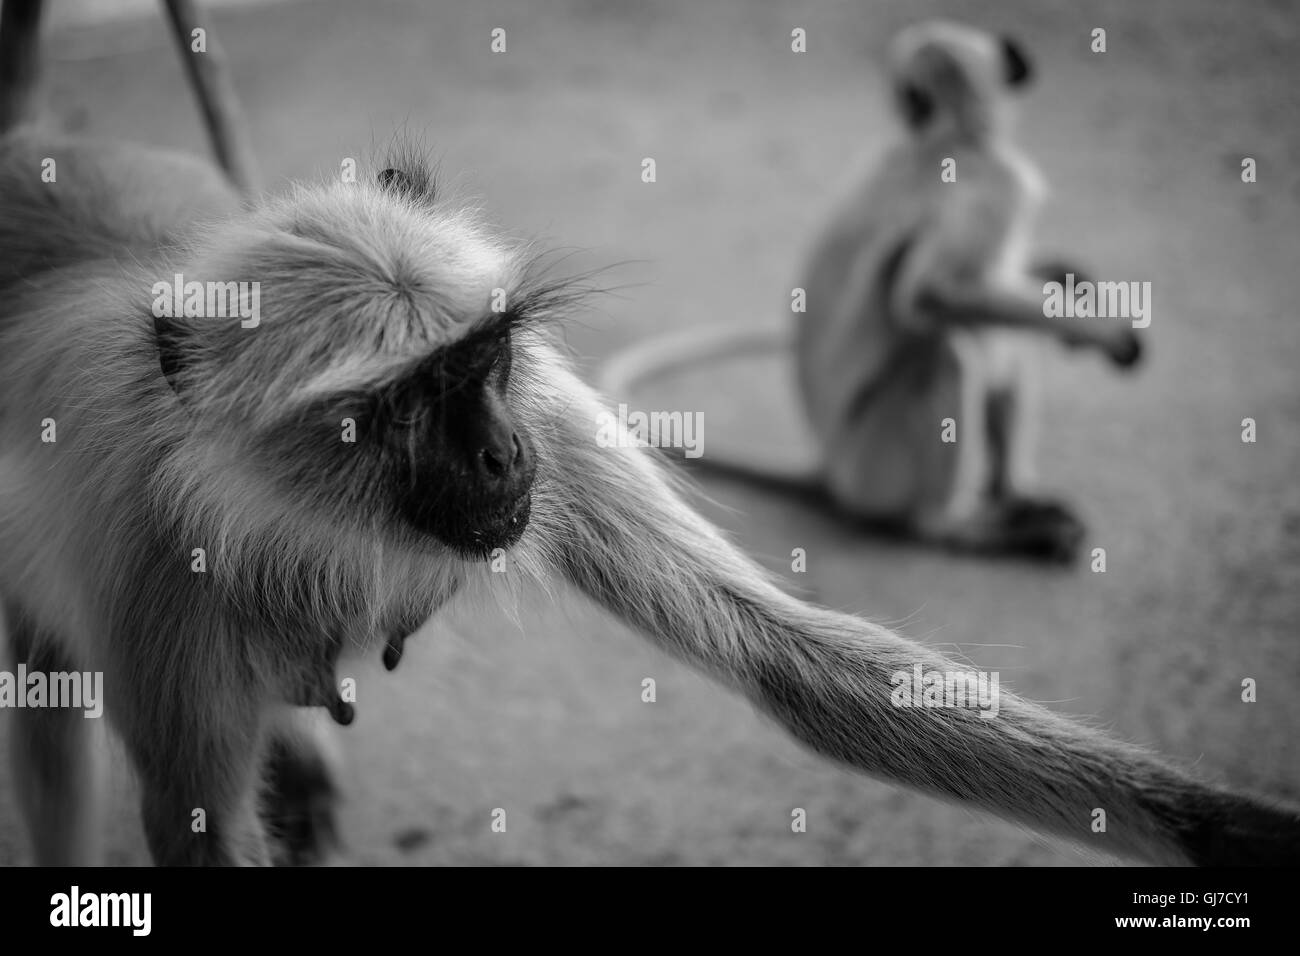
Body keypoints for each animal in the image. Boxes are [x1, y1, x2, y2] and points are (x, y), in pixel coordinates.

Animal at [600, 21, 1144, 563]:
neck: (953, 136)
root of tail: (831, 467)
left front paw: (1064, 277)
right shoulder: (991, 184)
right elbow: (929, 296)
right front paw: (1102, 332)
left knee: (998, 338)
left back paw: (1014, 495)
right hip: (876, 465)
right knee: (948, 349)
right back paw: (956, 524)